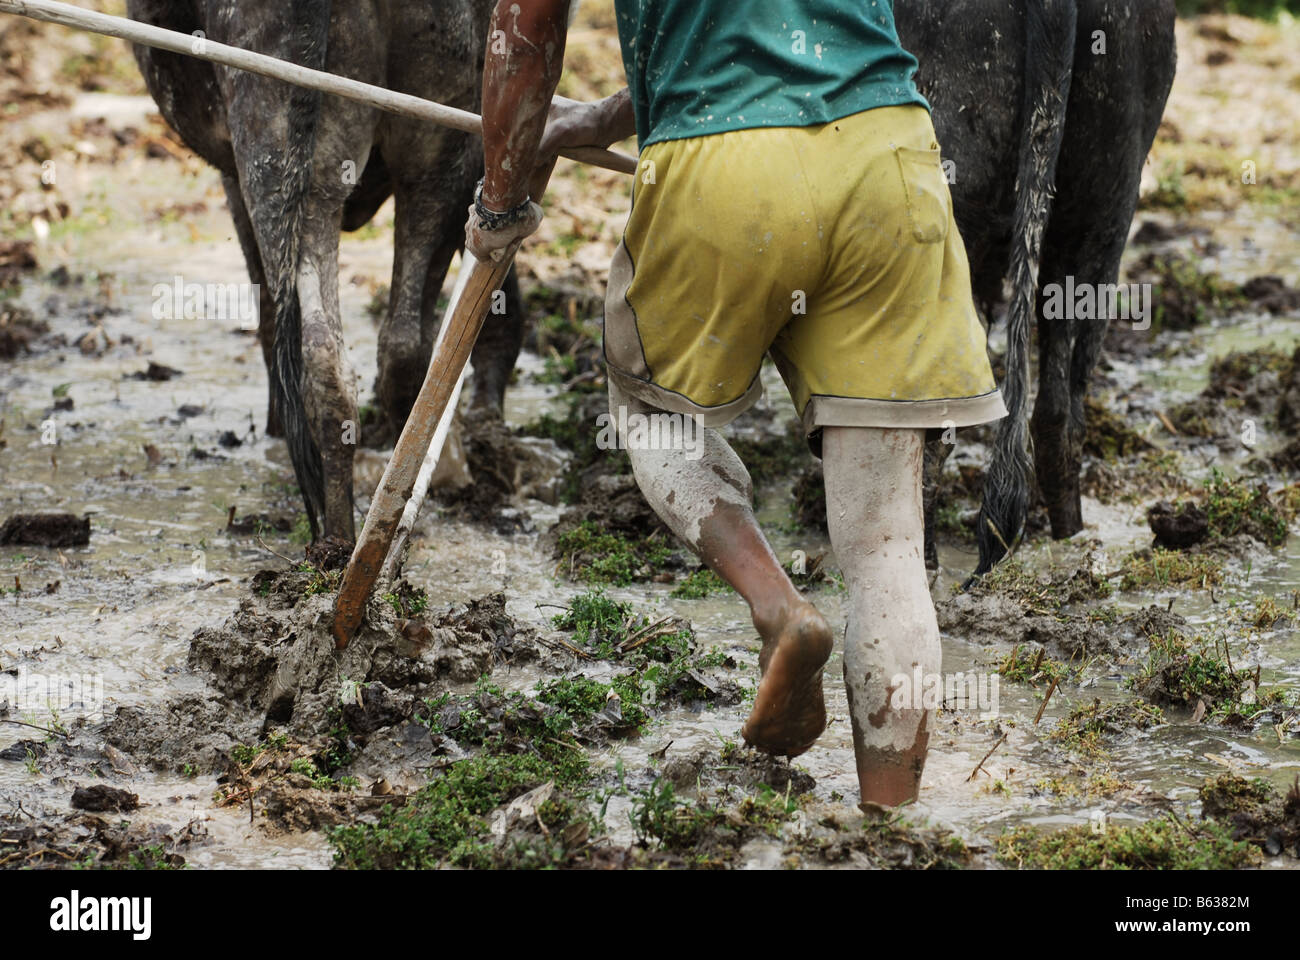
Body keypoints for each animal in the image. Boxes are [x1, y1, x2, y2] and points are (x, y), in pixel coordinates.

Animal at [126, 0, 525, 543]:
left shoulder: (231, 176)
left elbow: (268, 316)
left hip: (278, 151)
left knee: (320, 355)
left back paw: (334, 538)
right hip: (437, 147)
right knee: (400, 346)